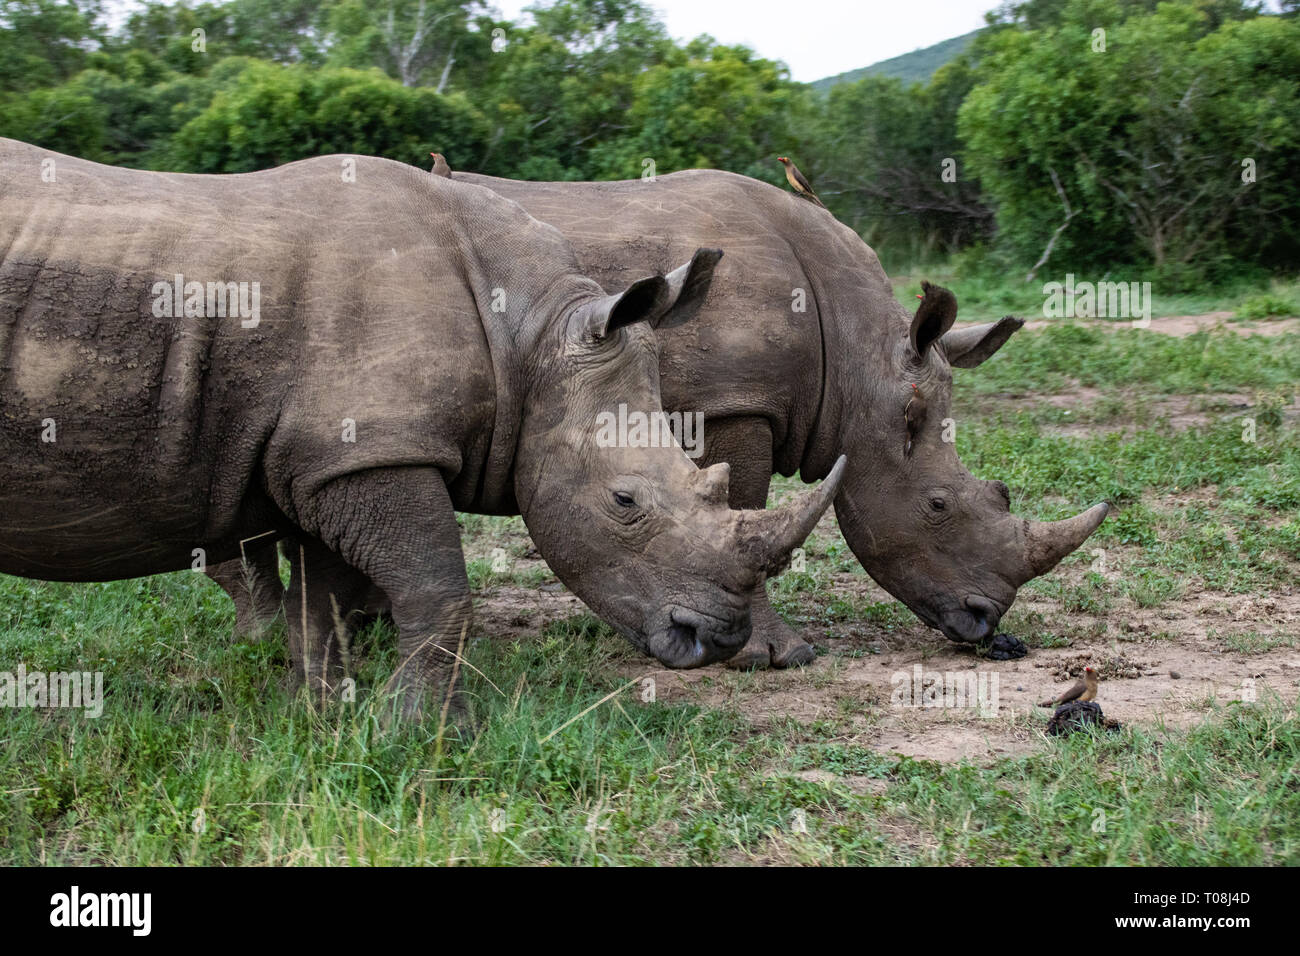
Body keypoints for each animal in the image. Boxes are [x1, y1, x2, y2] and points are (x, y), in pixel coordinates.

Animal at [0, 139, 845, 722]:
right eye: (625, 503)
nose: (718, 641)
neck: (528, 340)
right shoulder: (372, 451)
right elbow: (438, 591)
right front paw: (426, 733)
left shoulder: (331, 454)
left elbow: (322, 604)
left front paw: (318, 714)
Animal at [210, 167, 1110, 669]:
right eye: (939, 506)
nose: (987, 625)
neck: (859, 358)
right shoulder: (732, 402)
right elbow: (745, 504)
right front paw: (779, 656)